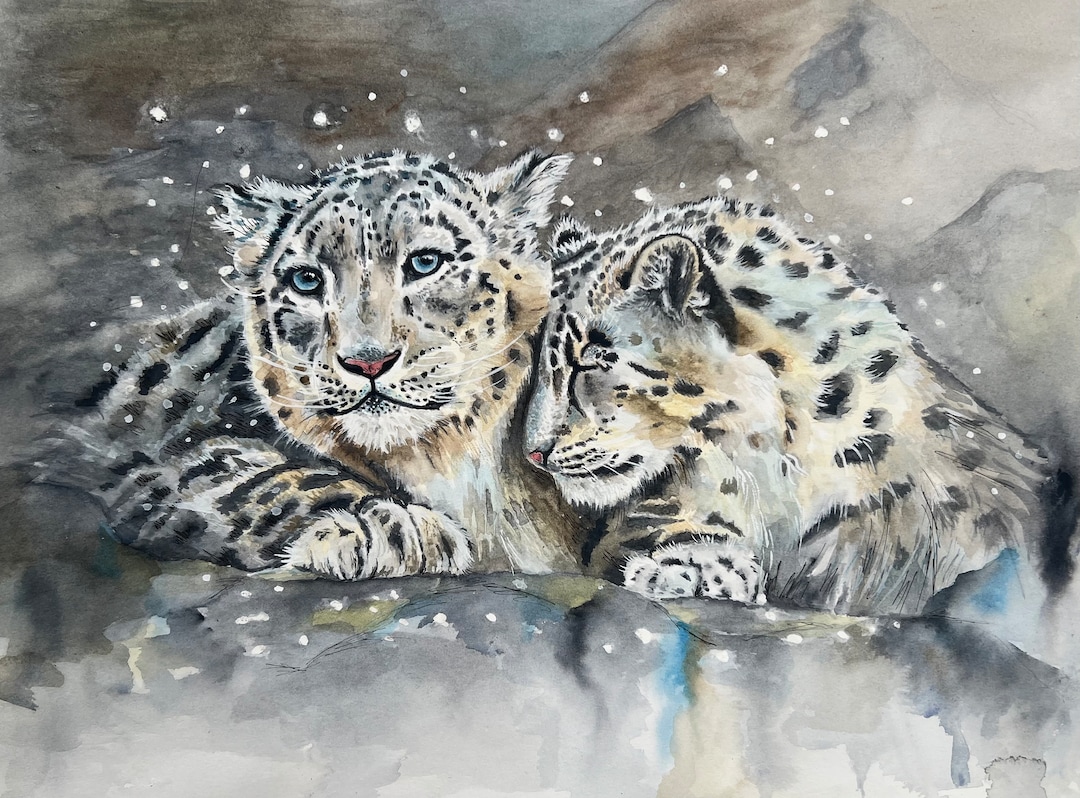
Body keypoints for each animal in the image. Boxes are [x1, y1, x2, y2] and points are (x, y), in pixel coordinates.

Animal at [42, 150, 588, 580]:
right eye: (306, 280)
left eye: (425, 263)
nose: (367, 361)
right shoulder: (159, 461)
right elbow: (266, 479)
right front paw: (394, 529)